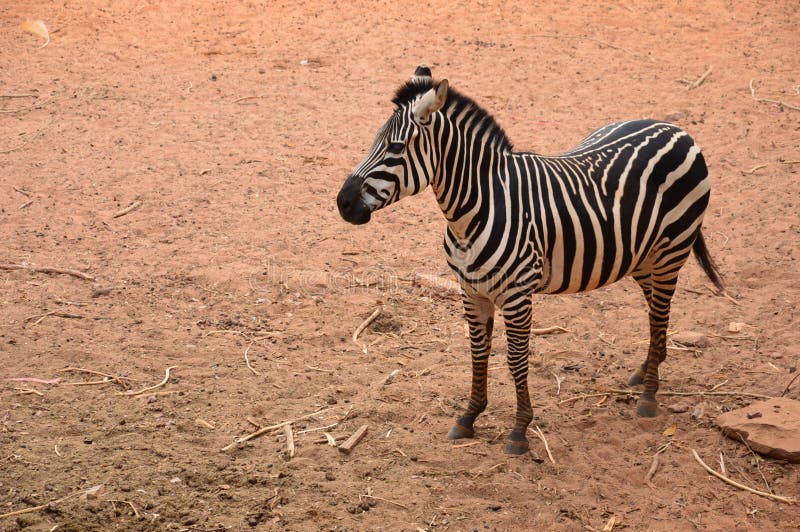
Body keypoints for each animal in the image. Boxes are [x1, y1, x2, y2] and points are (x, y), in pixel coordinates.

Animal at [336, 65, 723, 455]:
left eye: (396, 147)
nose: (343, 203)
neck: (477, 209)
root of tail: (676, 129)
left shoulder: (517, 295)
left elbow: (516, 359)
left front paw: (520, 429)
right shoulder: (471, 291)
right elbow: (478, 353)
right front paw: (469, 417)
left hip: (671, 250)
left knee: (660, 314)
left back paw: (648, 395)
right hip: (642, 256)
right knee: (654, 314)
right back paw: (646, 369)